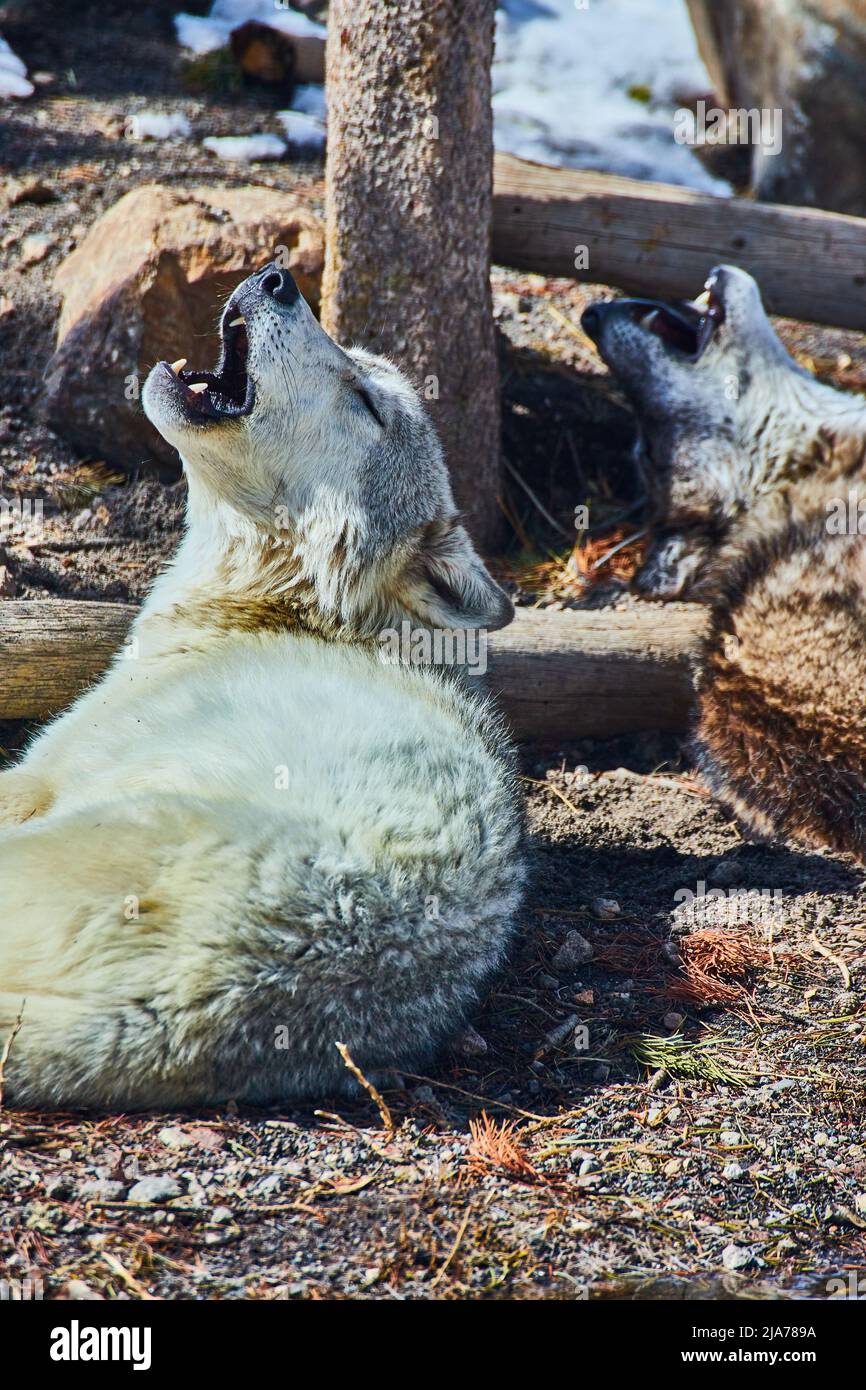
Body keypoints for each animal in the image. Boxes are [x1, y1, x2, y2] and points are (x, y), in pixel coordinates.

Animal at [0, 263, 524, 1109]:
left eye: (366, 402)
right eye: (358, 364)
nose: (277, 277)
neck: (282, 609)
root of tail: (189, 1011)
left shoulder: (39, 778)